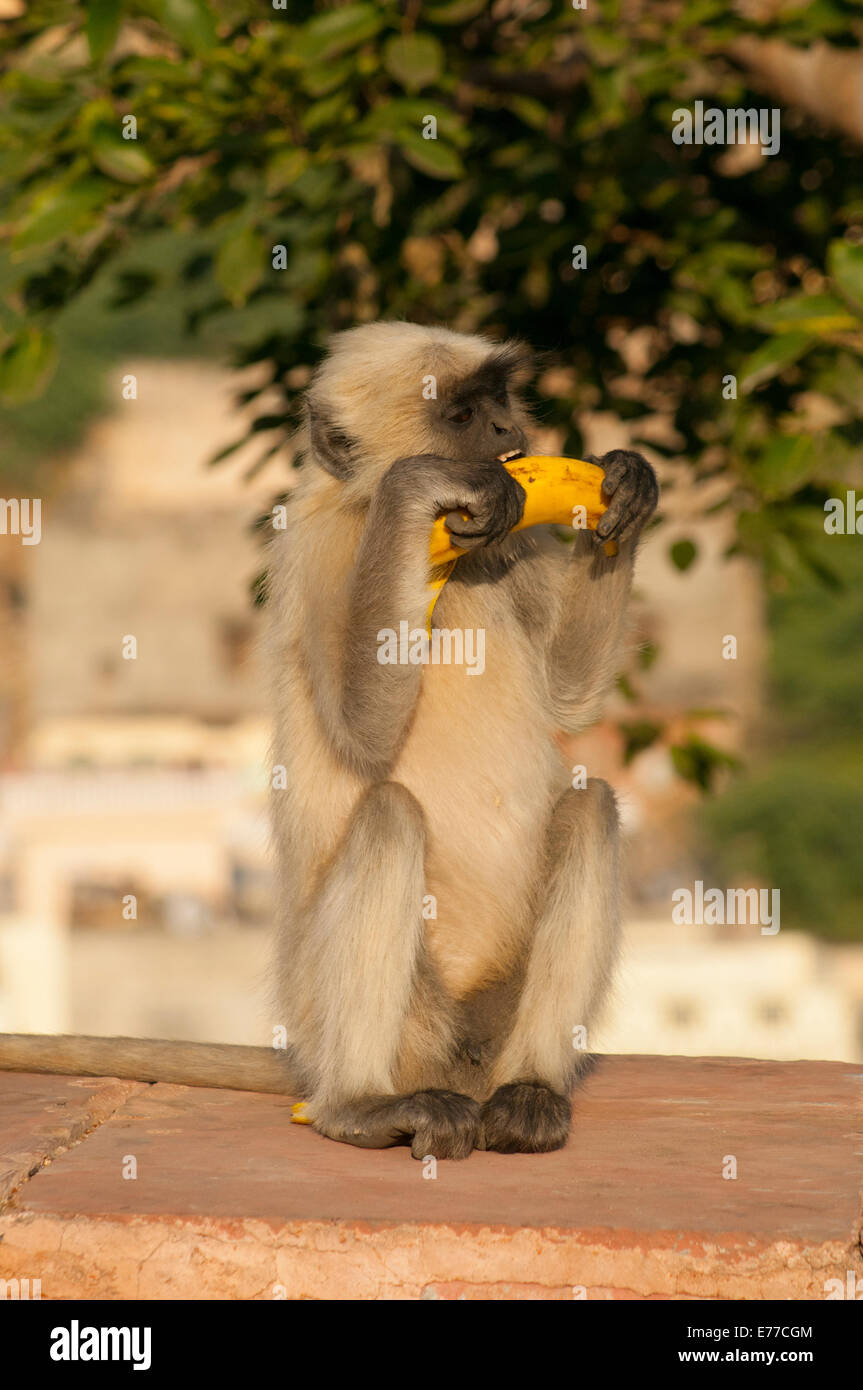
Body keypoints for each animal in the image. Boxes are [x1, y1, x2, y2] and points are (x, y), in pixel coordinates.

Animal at [0, 321, 658, 1160]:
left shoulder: (507, 548)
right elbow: (364, 736)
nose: (507, 432)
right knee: (388, 815)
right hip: (354, 1007)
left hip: (487, 1012)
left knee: (588, 807)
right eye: (462, 416)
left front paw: (629, 489)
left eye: (499, 401)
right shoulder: (318, 553)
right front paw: (417, 488)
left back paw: (528, 1090)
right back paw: (358, 1106)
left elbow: (570, 700)